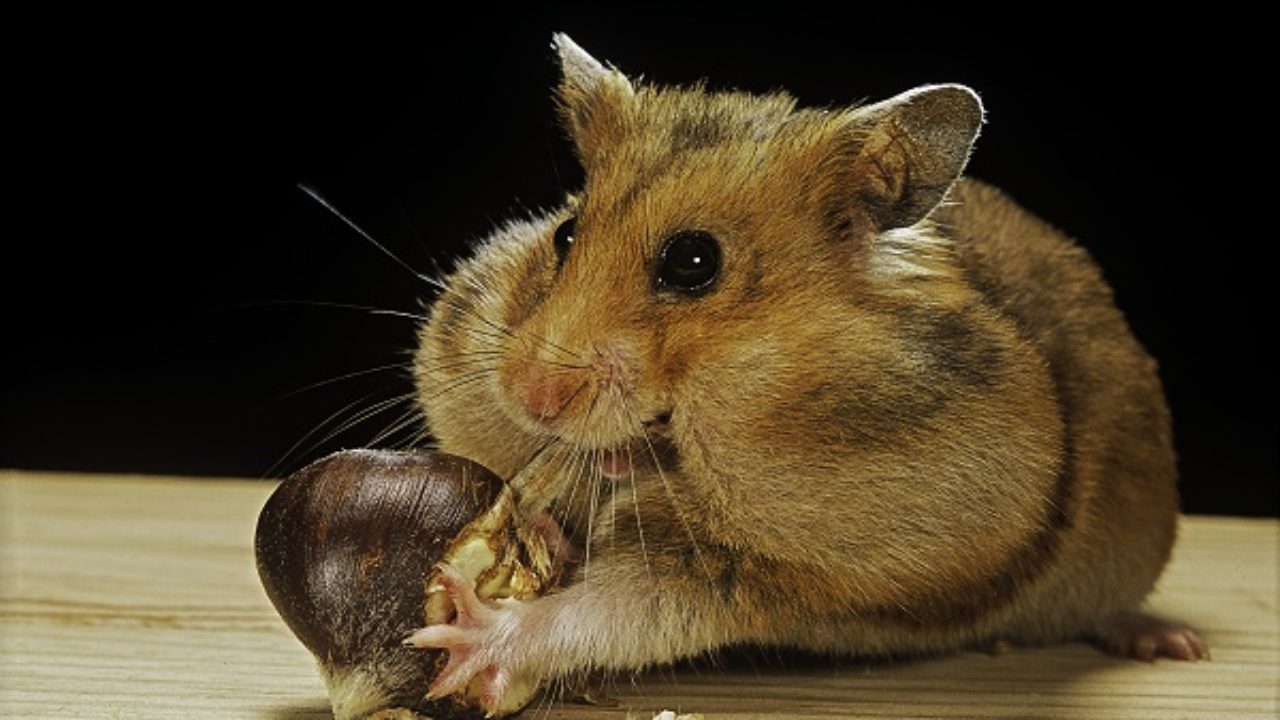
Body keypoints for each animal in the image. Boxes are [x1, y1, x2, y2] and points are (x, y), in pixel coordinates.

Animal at [406, 33, 1207, 712]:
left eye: (693, 261)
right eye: (566, 235)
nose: (531, 399)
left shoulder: (760, 571)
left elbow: (606, 614)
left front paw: (460, 639)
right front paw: (544, 529)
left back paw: (1171, 643)